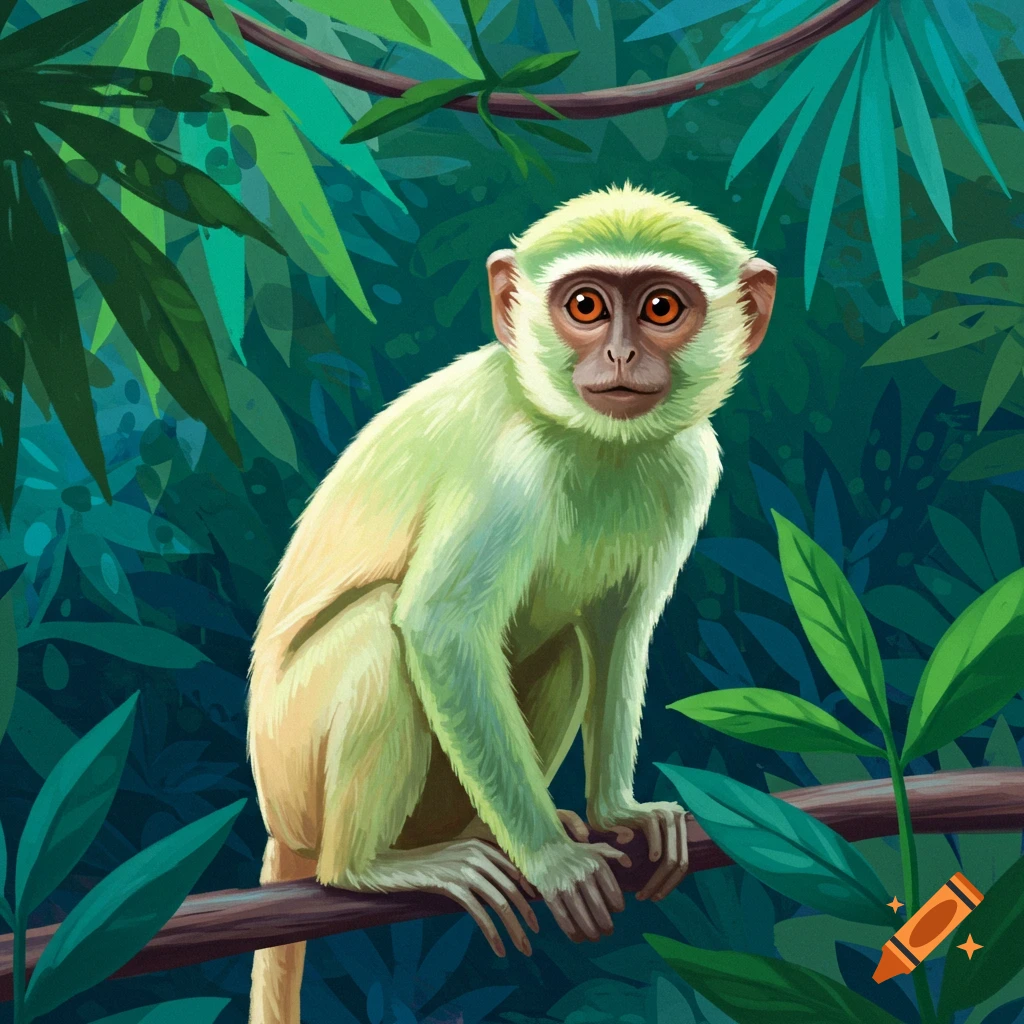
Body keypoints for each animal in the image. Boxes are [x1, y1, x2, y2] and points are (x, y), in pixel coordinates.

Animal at [246, 183, 776, 1024]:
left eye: (661, 307)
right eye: (586, 305)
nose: (620, 355)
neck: (587, 436)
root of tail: (282, 828)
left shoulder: (692, 466)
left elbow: (619, 632)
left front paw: (616, 813)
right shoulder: (509, 467)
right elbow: (440, 629)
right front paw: (554, 861)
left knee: (564, 650)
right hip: (293, 763)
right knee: (379, 634)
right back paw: (366, 868)